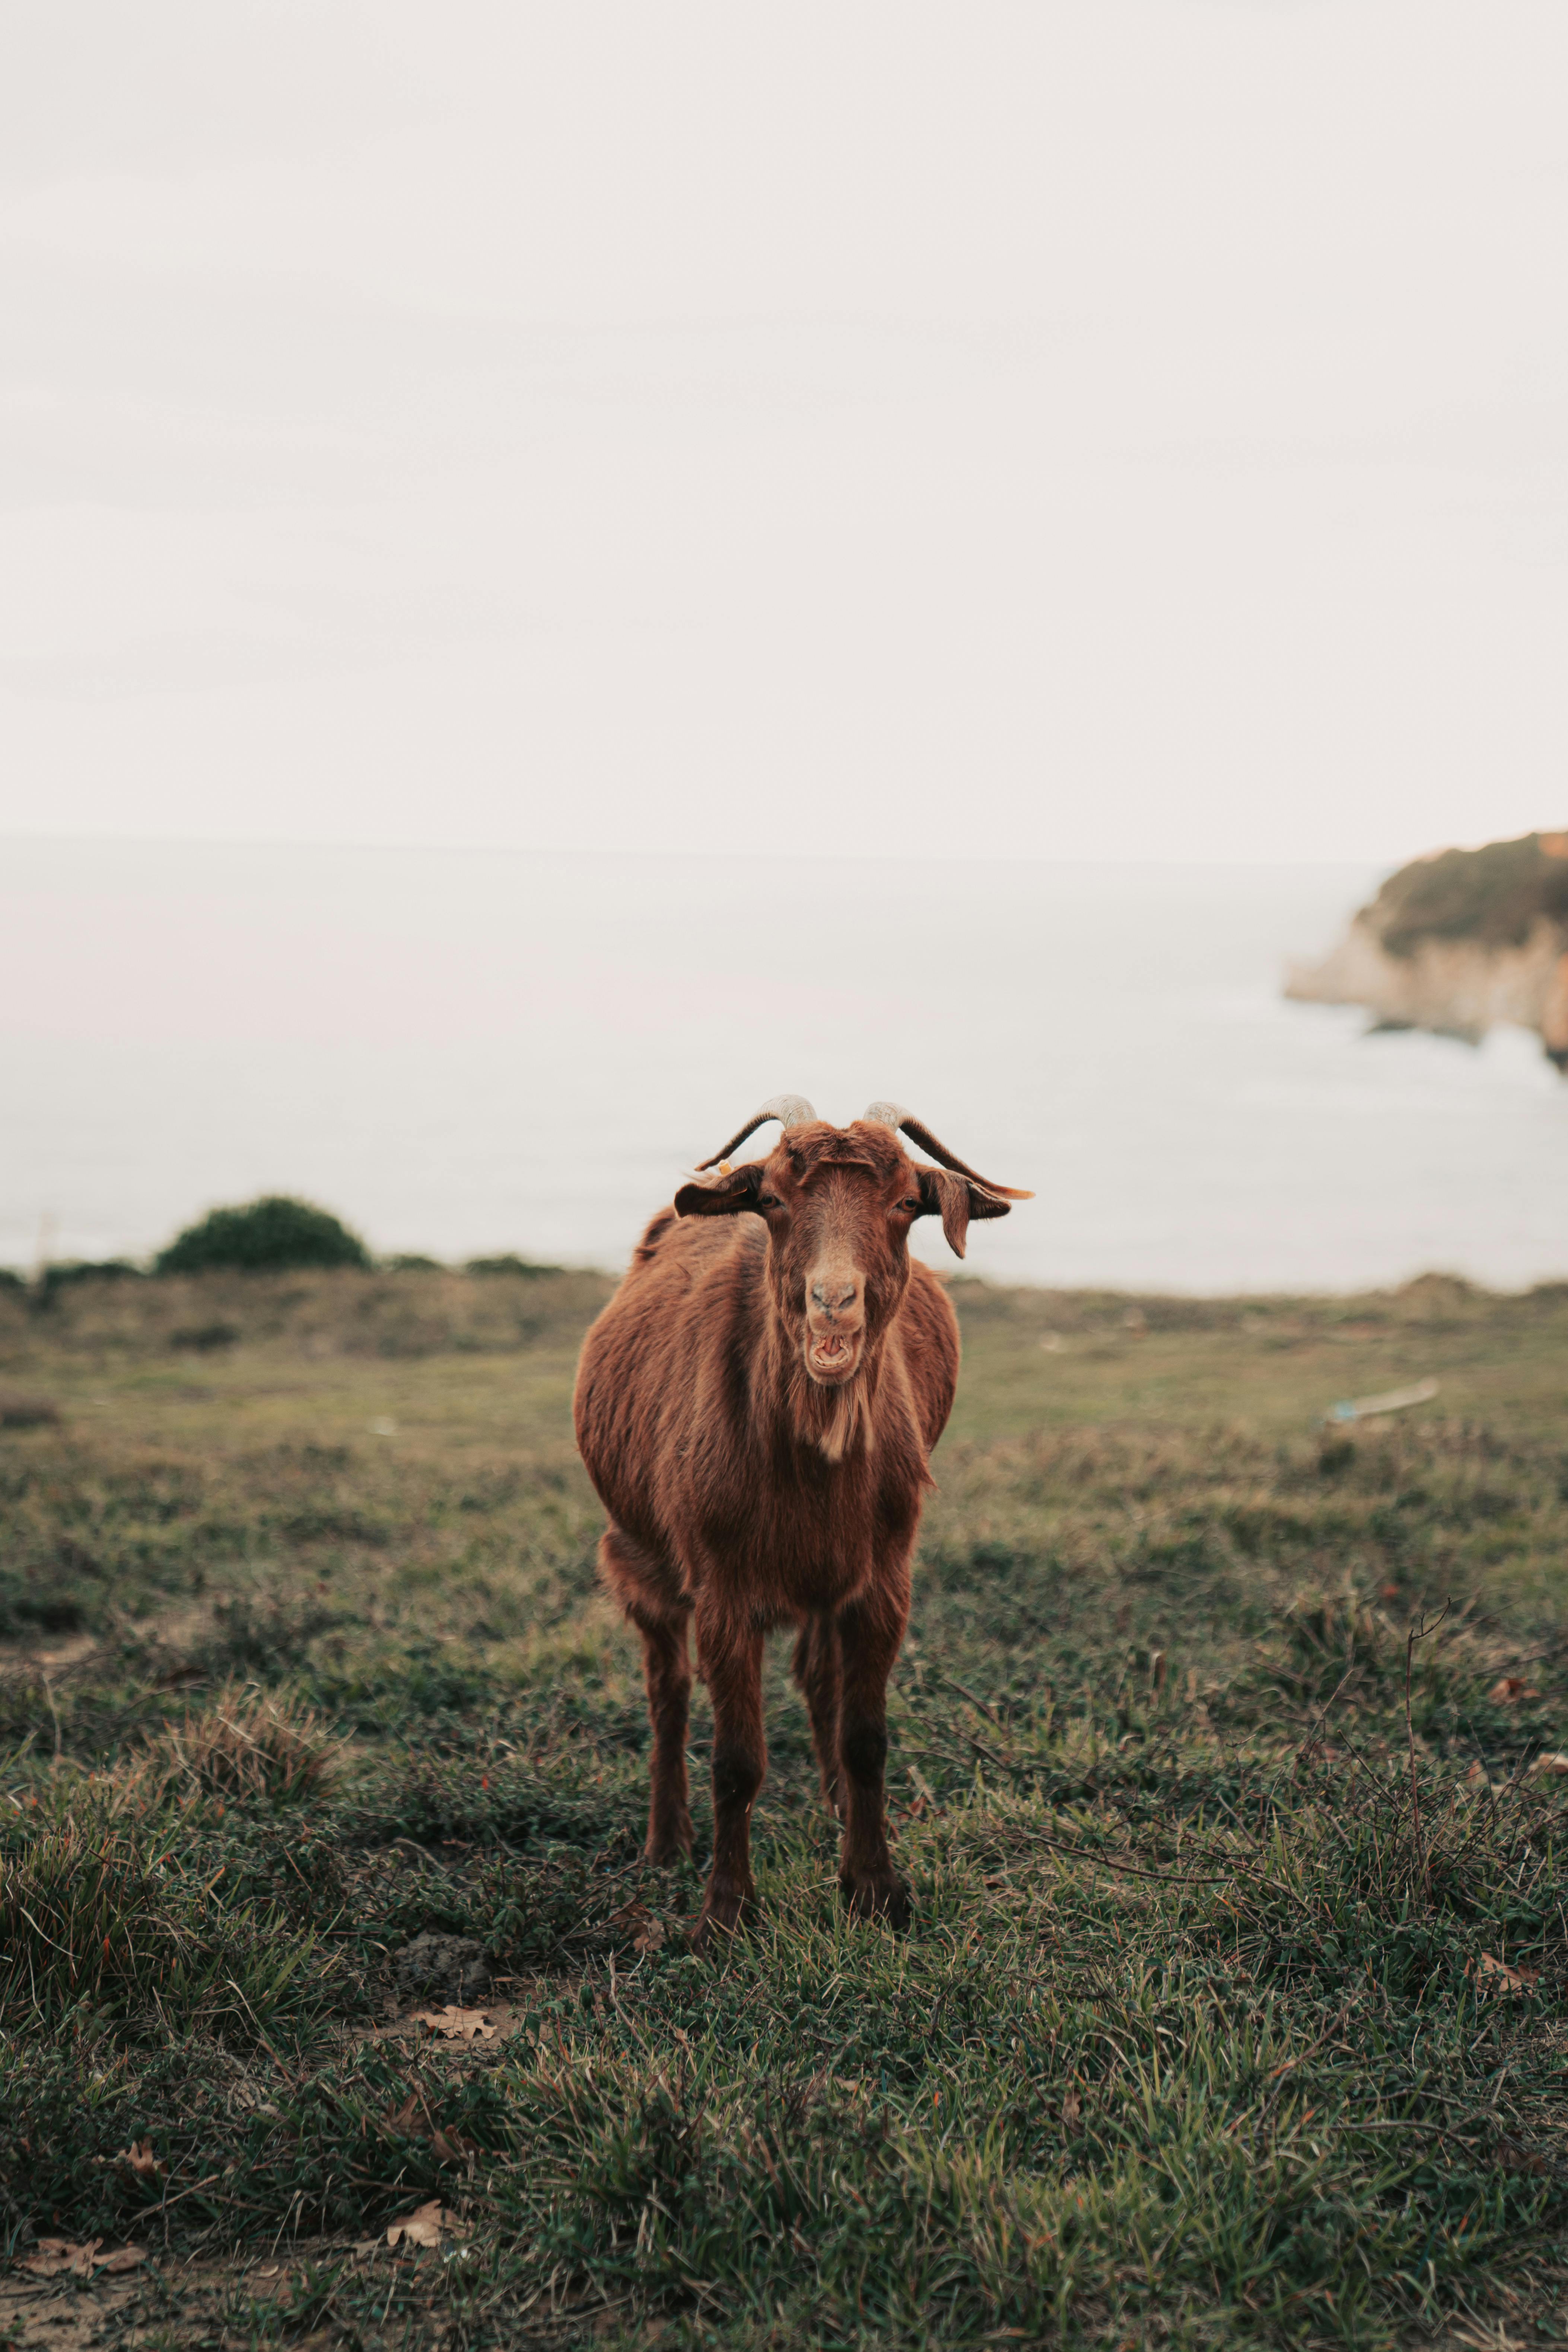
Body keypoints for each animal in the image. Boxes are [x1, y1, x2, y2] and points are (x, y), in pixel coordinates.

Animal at [572, 1096, 1030, 1948]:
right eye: (774, 1200)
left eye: (905, 1203)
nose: (833, 1300)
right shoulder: (721, 1586)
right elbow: (736, 1759)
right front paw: (724, 1914)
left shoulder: (882, 1575)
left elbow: (865, 1737)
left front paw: (874, 1888)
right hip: (636, 1555)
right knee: (665, 1688)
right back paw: (665, 1841)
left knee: (817, 1677)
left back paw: (835, 1805)